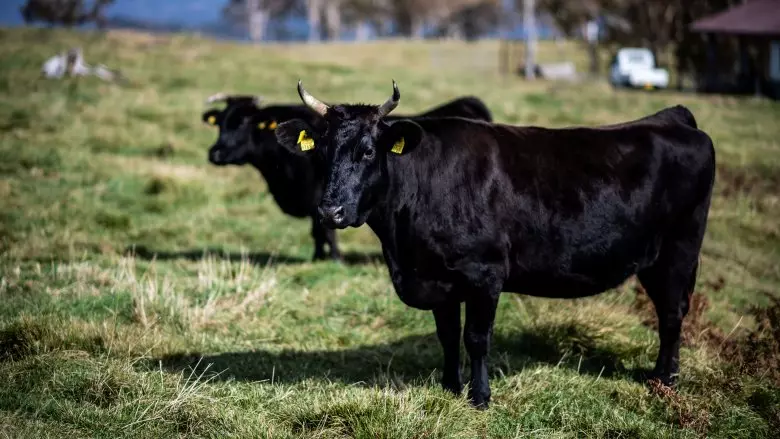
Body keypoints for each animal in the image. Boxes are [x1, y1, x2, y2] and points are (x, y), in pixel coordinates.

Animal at [201, 91, 494, 260]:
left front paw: (333, 258)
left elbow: (325, 231)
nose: (215, 153)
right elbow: (318, 230)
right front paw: (318, 257)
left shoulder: (318, 197)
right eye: (221, 122)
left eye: (242, 122)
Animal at [274, 81, 712, 410]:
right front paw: (450, 386)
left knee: (672, 314)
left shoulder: (484, 274)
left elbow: (476, 338)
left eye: (367, 151)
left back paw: (664, 379)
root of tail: (672, 117)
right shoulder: (438, 279)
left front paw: (479, 397)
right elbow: (448, 335)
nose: (330, 210)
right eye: (322, 152)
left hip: (678, 252)